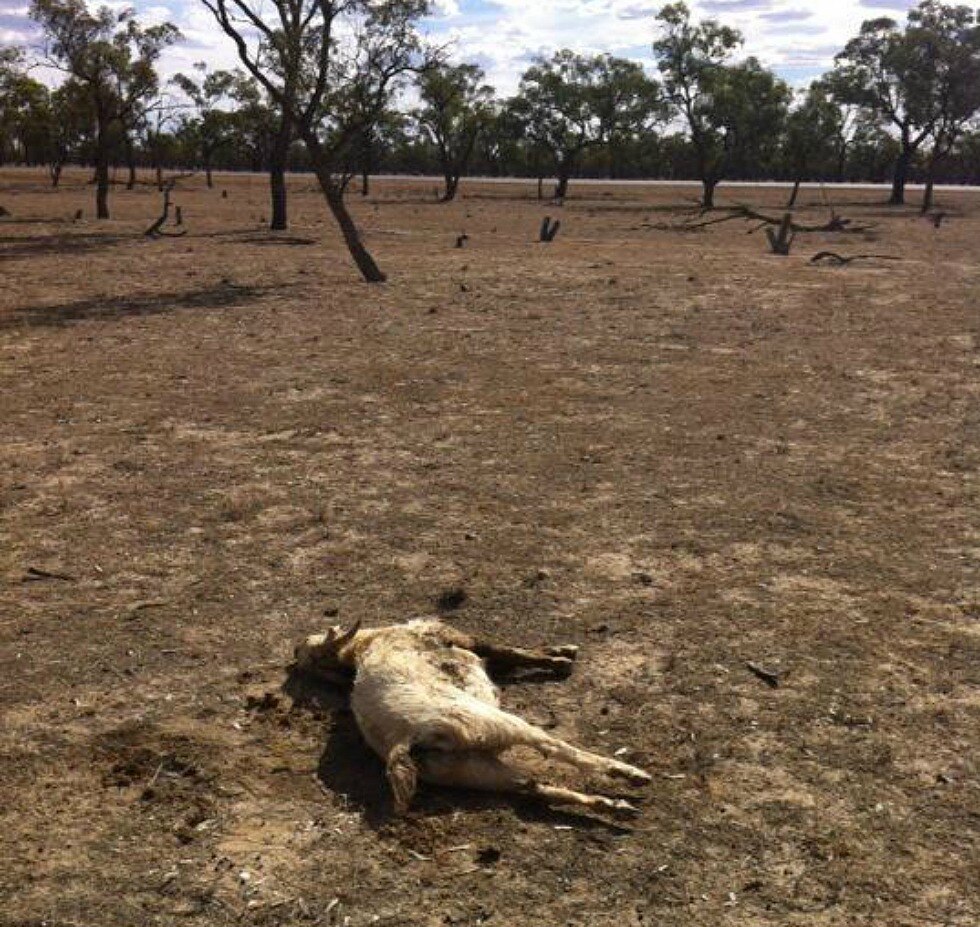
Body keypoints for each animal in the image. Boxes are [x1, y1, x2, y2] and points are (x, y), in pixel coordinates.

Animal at [293, 618, 651, 816]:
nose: (298, 646)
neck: (361, 649)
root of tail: (403, 742)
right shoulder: (462, 639)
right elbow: (508, 651)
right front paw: (562, 657)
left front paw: (560, 653)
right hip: (495, 724)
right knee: (558, 749)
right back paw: (630, 774)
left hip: (470, 771)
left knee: (532, 787)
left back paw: (613, 807)